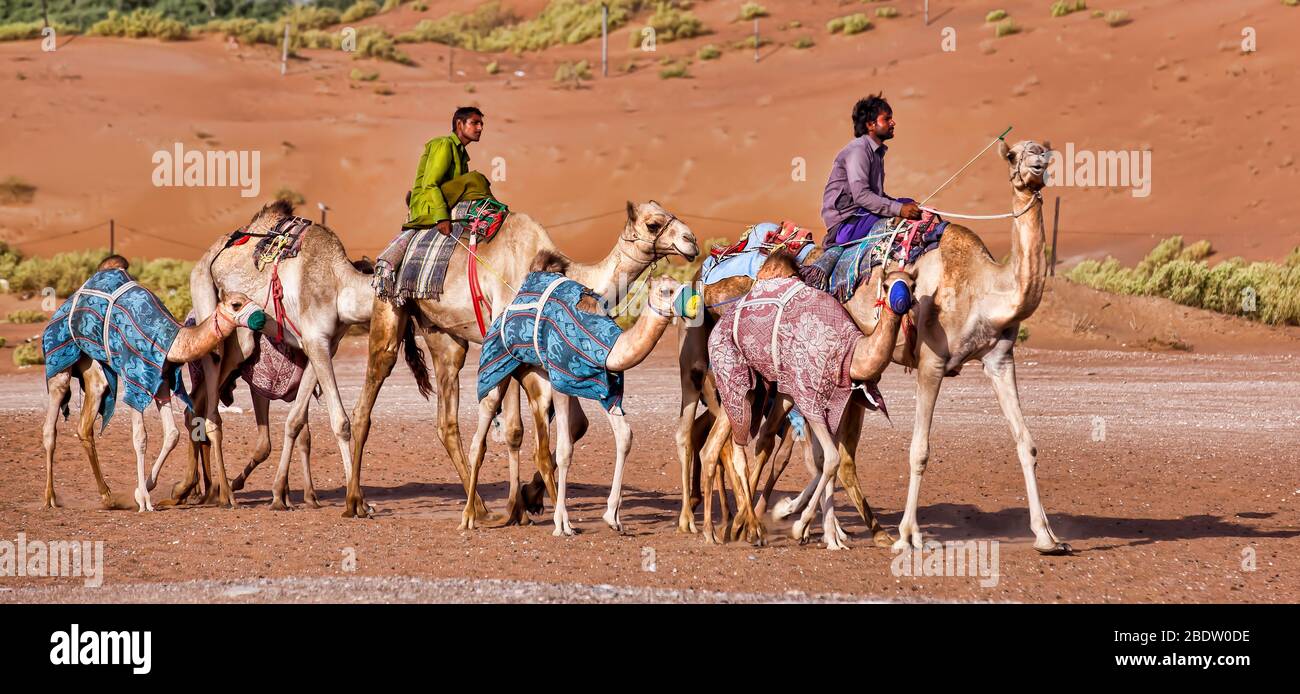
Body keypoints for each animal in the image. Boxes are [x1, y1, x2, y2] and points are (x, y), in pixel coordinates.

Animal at [42, 289, 264, 512]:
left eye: (251, 299)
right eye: (236, 304)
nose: (260, 317)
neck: (173, 342)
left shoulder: (163, 381)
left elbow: (172, 434)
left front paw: (142, 490)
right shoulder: (135, 382)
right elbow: (140, 438)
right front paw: (143, 500)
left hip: (92, 366)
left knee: (86, 419)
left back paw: (107, 497)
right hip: (60, 358)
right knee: (50, 425)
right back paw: (50, 498)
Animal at [173, 201, 395, 511]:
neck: (338, 283)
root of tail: (209, 253)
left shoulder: (321, 345)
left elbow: (295, 420)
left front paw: (280, 494)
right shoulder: (316, 340)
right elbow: (341, 422)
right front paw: (357, 502)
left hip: (241, 341)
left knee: (195, 405)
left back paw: (188, 489)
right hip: (206, 300)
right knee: (211, 414)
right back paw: (224, 494)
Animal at [465, 268, 694, 536]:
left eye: (679, 283)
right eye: (665, 290)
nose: (693, 304)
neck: (608, 348)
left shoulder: (607, 388)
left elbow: (625, 436)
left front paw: (613, 517)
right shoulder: (562, 380)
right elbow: (565, 450)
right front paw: (561, 525)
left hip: (536, 377)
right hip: (498, 363)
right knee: (481, 433)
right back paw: (469, 516)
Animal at [682, 139, 1070, 555]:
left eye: (1042, 151)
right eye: (1013, 155)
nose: (1036, 165)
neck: (982, 286)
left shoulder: (999, 358)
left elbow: (1026, 443)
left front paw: (1047, 536)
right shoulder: (932, 361)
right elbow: (918, 451)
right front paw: (906, 535)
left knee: (779, 441)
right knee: (751, 438)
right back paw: (746, 524)